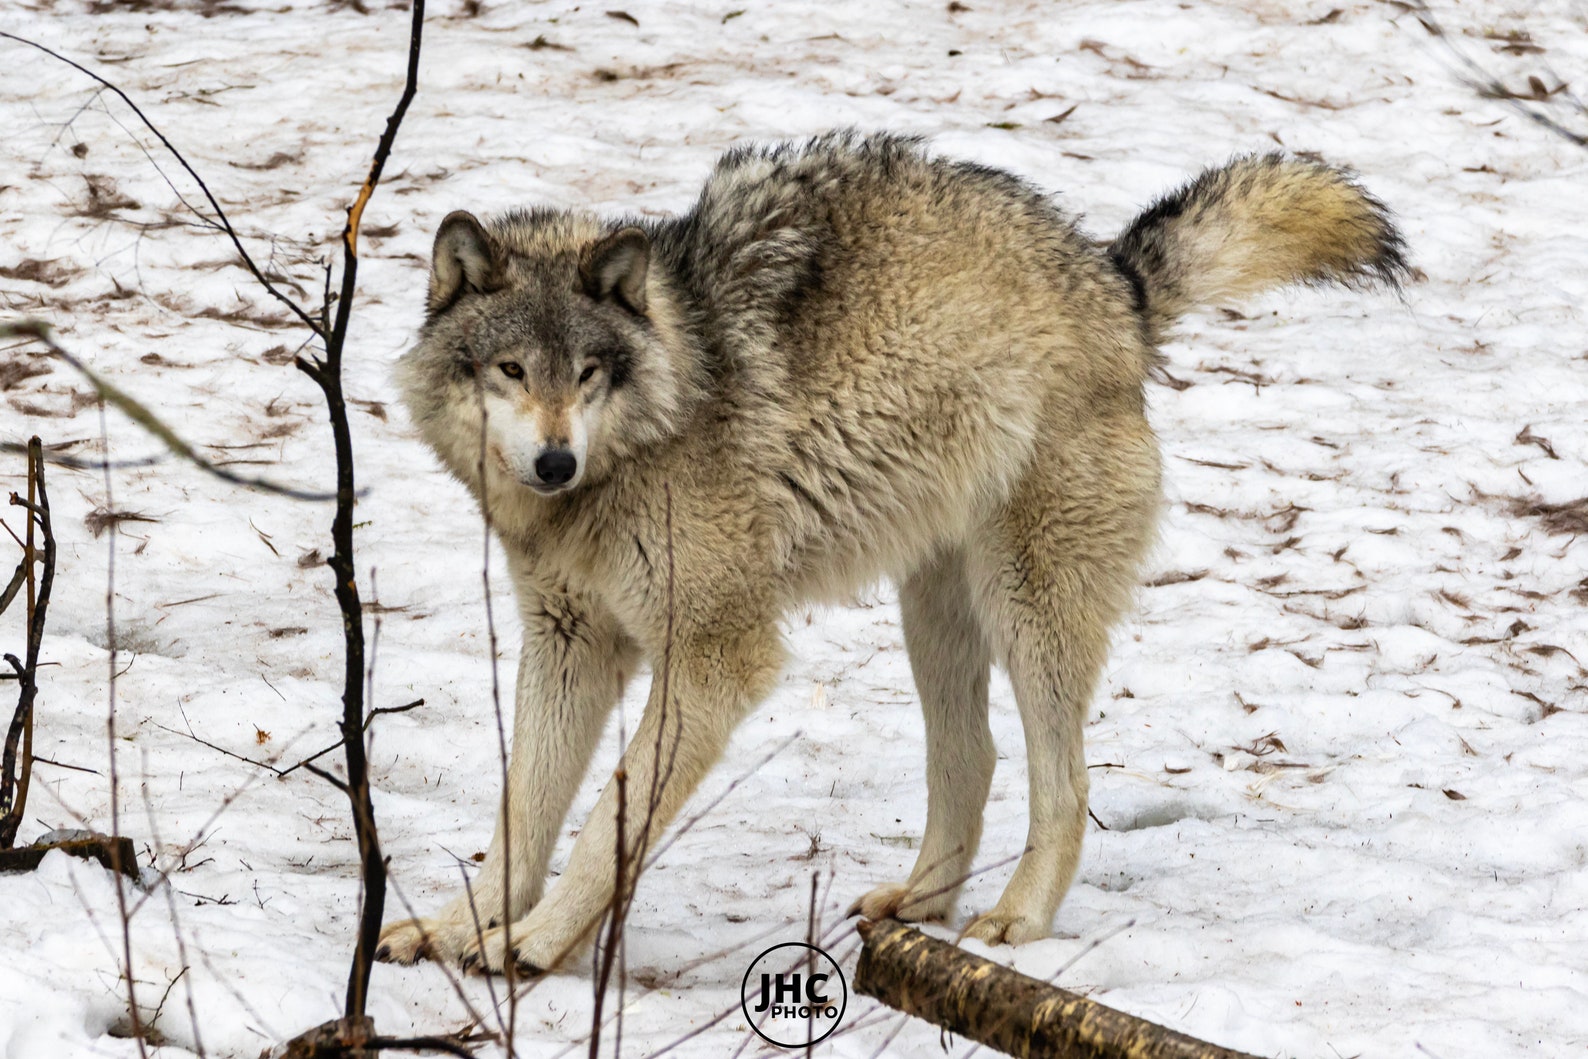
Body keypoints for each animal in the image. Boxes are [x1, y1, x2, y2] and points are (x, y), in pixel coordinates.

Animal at [378, 131, 1406, 974]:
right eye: (512, 370)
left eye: (589, 374)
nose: (554, 461)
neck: (647, 432)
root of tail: (1114, 280)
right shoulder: (570, 643)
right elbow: (521, 810)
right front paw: (457, 926)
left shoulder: (714, 656)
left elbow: (605, 825)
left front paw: (535, 940)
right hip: (934, 612)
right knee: (974, 758)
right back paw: (921, 901)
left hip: (1025, 606)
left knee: (1065, 783)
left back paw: (1014, 921)